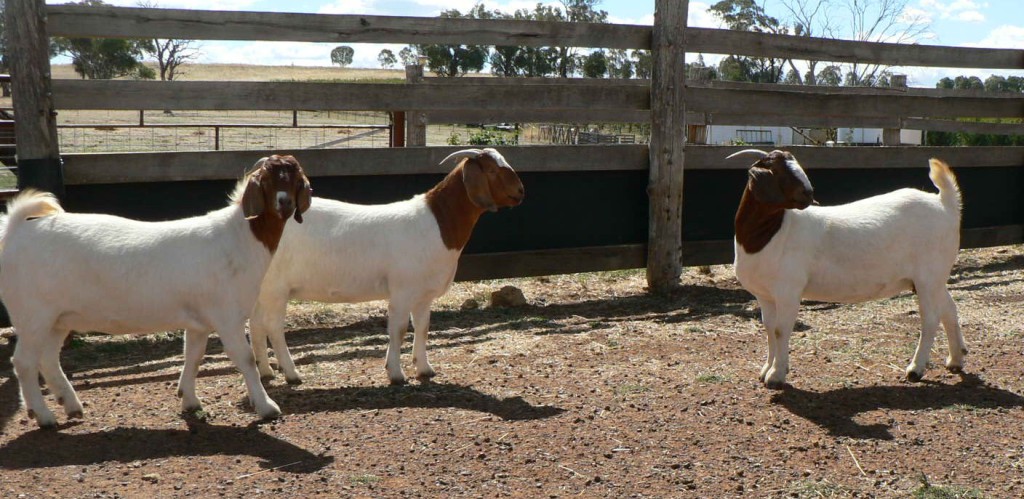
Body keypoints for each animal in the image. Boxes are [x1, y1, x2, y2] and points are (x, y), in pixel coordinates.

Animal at [0, 155, 312, 428]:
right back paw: (43, 416)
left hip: (58, 318)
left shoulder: (199, 321)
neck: (241, 236)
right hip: (33, 314)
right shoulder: (228, 316)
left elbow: (193, 356)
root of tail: (16, 231)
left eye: (296, 178)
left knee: (48, 358)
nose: (284, 203)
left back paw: (71, 405)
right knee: (24, 362)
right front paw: (267, 407)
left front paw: (189, 400)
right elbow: (244, 358)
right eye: (267, 181)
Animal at [250, 148, 524, 385]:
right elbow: (399, 330)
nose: (521, 191)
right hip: (276, 288)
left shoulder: (423, 294)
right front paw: (396, 373)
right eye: (491, 170)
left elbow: (423, 328)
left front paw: (424, 369)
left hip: (260, 289)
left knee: (256, 326)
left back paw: (266, 372)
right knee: (273, 327)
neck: (437, 223)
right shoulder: (402, 290)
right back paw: (291, 373)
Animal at [729, 149, 964, 388]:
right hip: (935, 277)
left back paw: (915, 369)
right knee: (949, 309)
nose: (808, 194)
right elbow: (768, 328)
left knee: (931, 318)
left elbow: (780, 330)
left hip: (928, 277)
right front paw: (766, 369)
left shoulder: (789, 290)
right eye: (776, 170)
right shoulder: (764, 295)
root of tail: (945, 204)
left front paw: (776, 375)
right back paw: (956, 359)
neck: (773, 233)